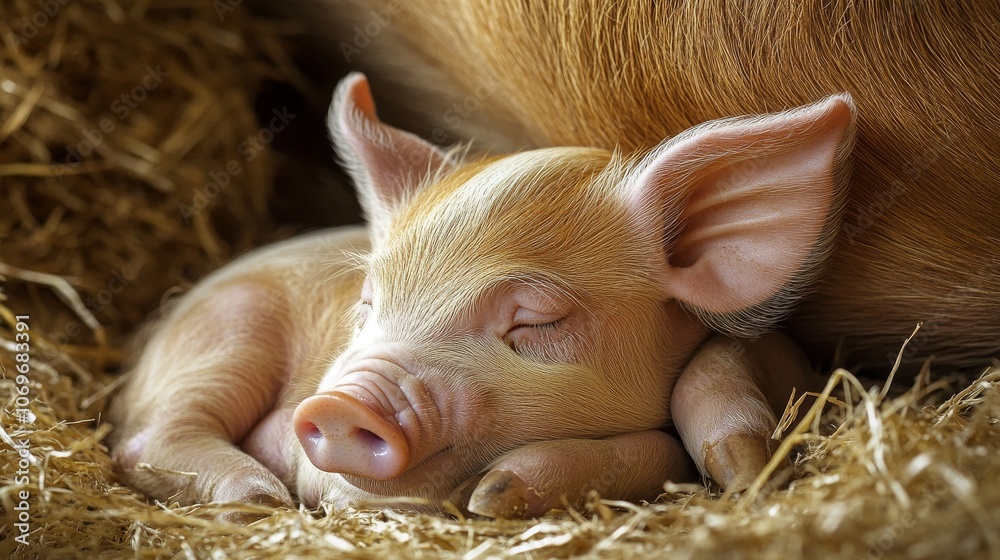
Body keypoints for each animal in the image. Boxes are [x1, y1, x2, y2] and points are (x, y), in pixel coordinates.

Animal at [109, 71, 856, 519]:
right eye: (368, 306)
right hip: (229, 332)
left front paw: (745, 472)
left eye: (535, 322)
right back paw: (260, 497)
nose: (341, 403)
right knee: (148, 436)